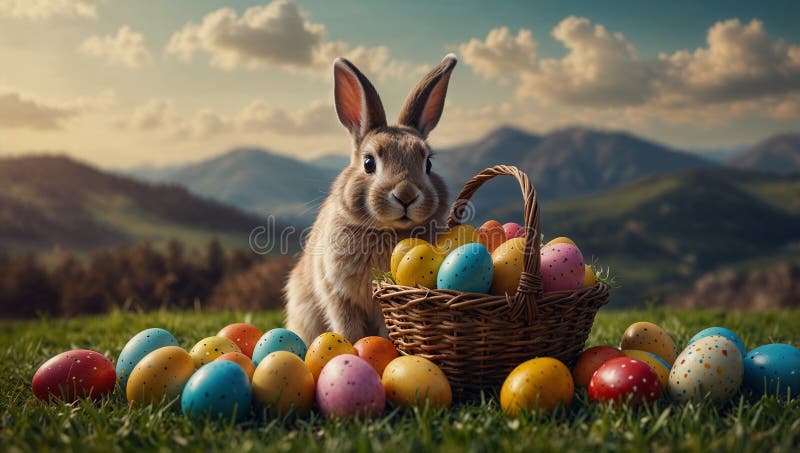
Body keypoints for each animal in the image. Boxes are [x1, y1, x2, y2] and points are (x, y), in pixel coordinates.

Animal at [284, 54, 458, 345]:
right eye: (368, 163)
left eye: (428, 164)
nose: (406, 195)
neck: (386, 230)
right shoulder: (338, 297)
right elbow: (349, 331)